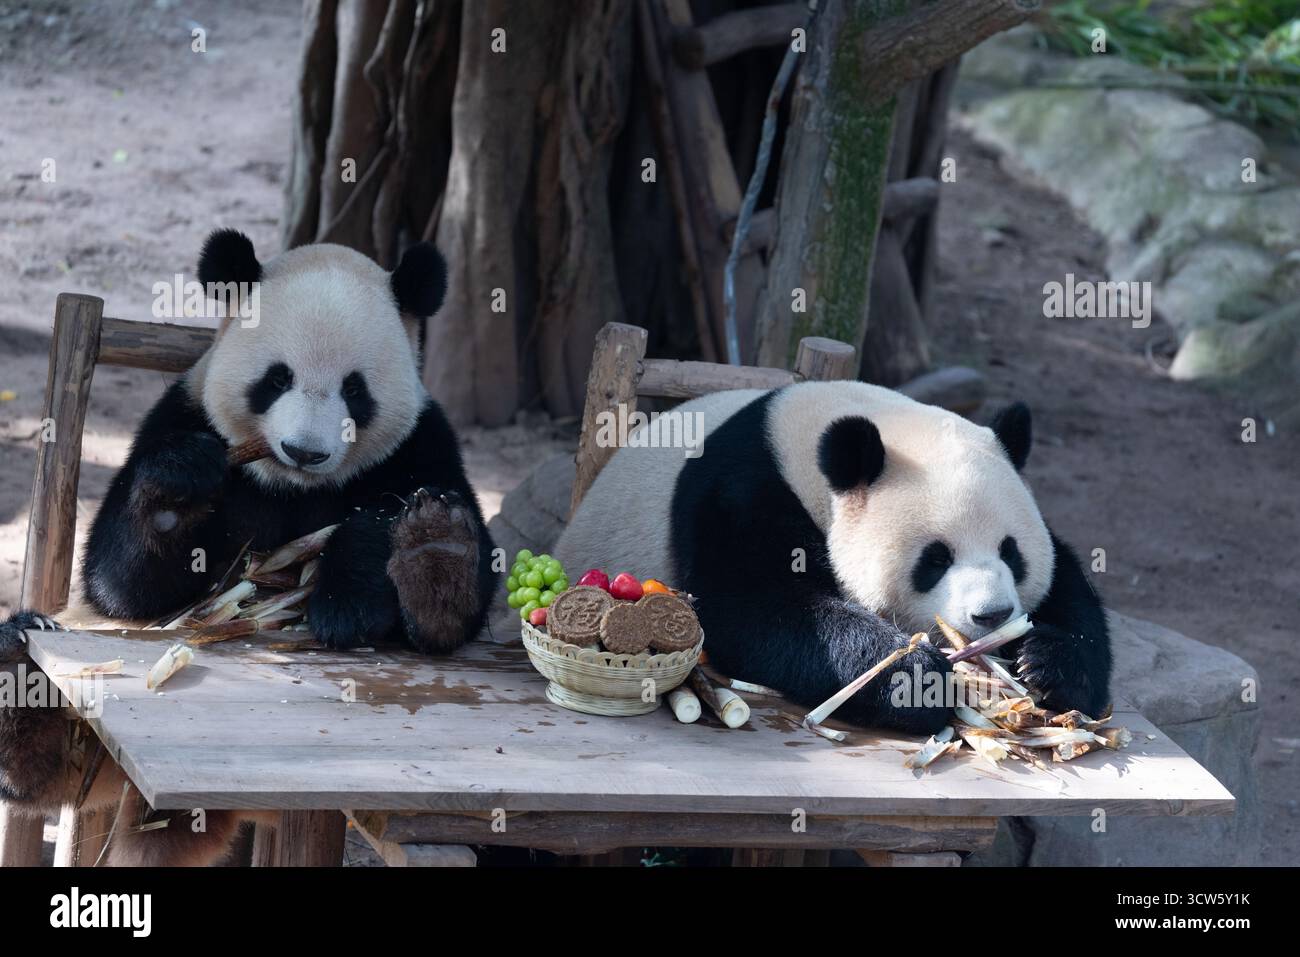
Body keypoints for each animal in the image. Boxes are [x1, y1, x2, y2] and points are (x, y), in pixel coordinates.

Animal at [0, 229, 496, 864]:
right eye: (277, 378)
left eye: (354, 390)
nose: (305, 450)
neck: (294, 486)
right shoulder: (183, 413)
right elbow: (123, 584)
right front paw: (174, 496)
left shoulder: (422, 444)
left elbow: (451, 588)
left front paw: (365, 592)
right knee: (55, 741)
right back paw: (20, 674)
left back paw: (434, 554)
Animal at [555, 382, 1111, 734]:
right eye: (935, 558)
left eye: (1010, 552)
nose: (993, 615)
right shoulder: (740, 494)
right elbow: (756, 610)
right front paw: (917, 679)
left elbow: (1069, 585)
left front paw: (1047, 662)